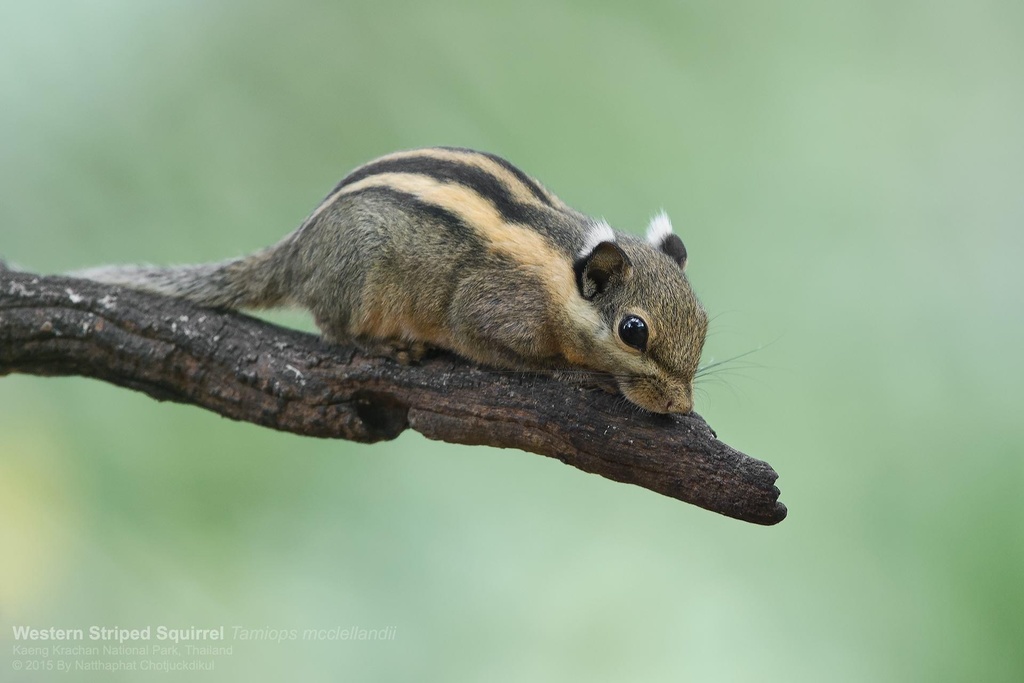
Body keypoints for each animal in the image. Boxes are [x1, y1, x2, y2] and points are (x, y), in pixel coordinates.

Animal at [75, 147, 708, 414]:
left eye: (704, 323)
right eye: (633, 331)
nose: (680, 407)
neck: (559, 273)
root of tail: (299, 251)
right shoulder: (487, 309)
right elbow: (502, 350)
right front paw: (573, 373)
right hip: (360, 278)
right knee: (334, 330)